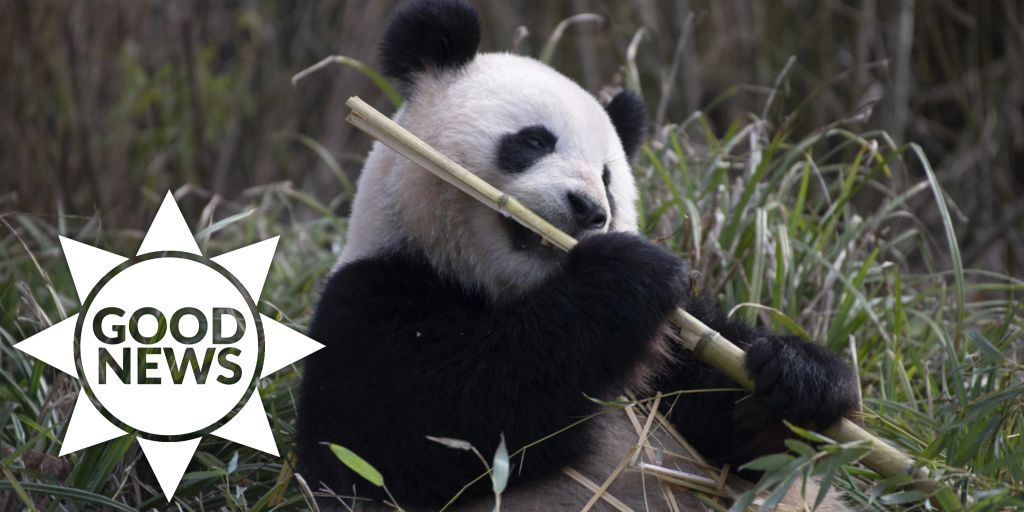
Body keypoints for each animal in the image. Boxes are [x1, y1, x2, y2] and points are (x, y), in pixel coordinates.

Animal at [296, 0, 858, 510]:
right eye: (534, 141)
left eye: (608, 180)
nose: (589, 210)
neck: (506, 290)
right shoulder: (372, 300)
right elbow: (422, 431)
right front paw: (629, 276)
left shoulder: (676, 348)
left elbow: (739, 445)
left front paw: (800, 378)